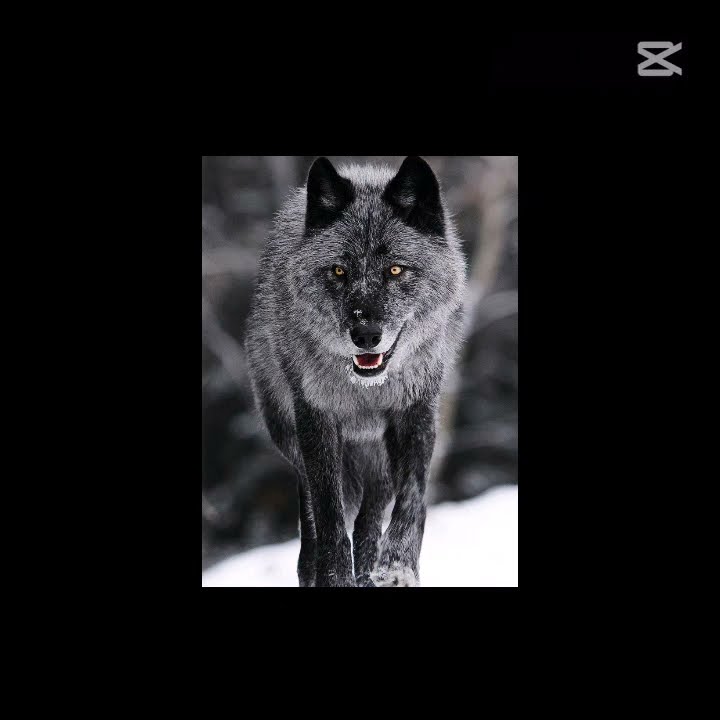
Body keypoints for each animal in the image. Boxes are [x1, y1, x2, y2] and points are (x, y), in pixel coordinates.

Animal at [245, 156, 467, 587]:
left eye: (395, 270)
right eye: (338, 271)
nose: (365, 335)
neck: (366, 390)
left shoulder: (416, 412)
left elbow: (413, 496)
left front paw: (397, 566)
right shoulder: (316, 420)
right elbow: (328, 515)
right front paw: (334, 577)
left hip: (376, 456)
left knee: (371, 514)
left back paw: (369, 568)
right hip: (290, 436)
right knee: (320, 516)